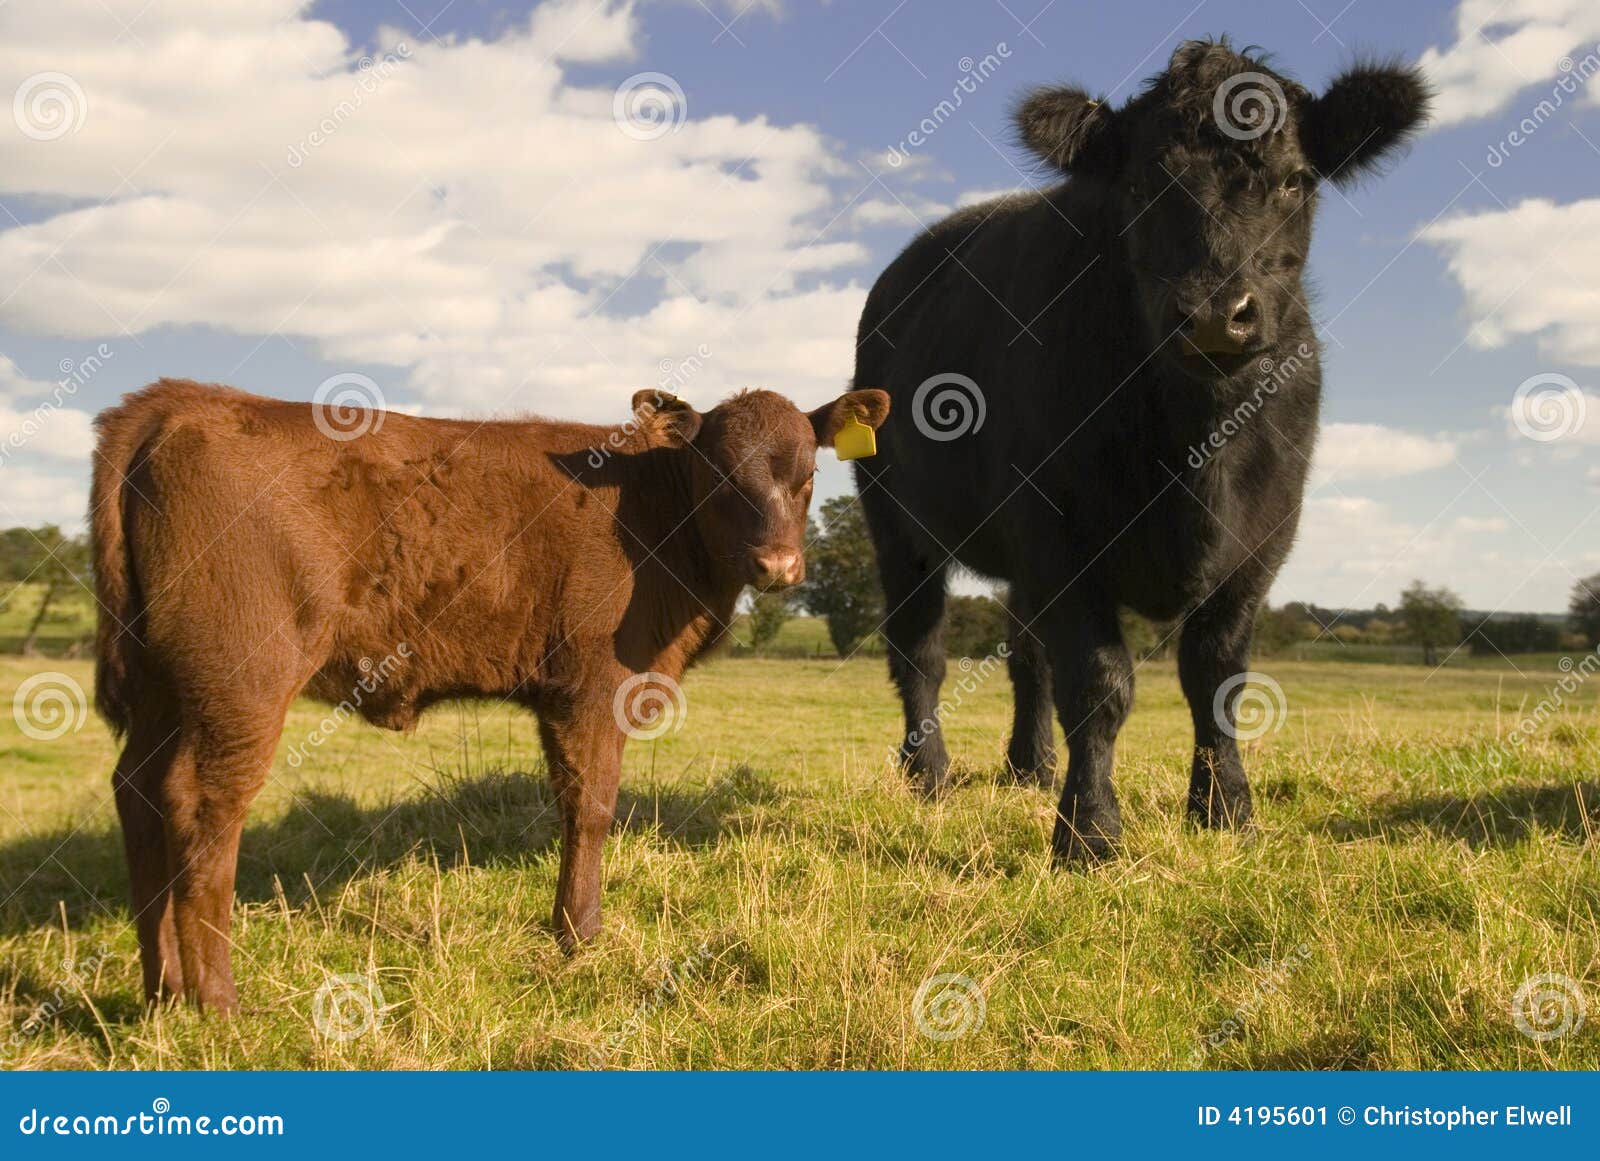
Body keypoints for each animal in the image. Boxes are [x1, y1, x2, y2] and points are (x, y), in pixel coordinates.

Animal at [91, 378, 889, 1010]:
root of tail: (181, 397)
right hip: (241, 680)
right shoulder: (595, 683)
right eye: (719, 474)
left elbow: (570, 801)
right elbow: (593, 805)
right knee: (203, 805)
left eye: (807, 474)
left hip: (164, 685)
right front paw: (581, 935)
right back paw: (217, 1002)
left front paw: (569, 927)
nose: (779, 564)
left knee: (138, 790)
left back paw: (162, 991)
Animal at [851, 40, 1429, 859]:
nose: (1216, 315)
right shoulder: (1057, 531)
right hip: (897, 524)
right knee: (919, 650)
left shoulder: (1265, 538)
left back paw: (1030, 767)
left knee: (1025, 653)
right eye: (1141, 184)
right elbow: (1098, 684)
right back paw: (928, 773)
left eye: (1294, 178)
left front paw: (1226, 810)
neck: (1196, 456)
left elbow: (1216, 677)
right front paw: (1089, 832)